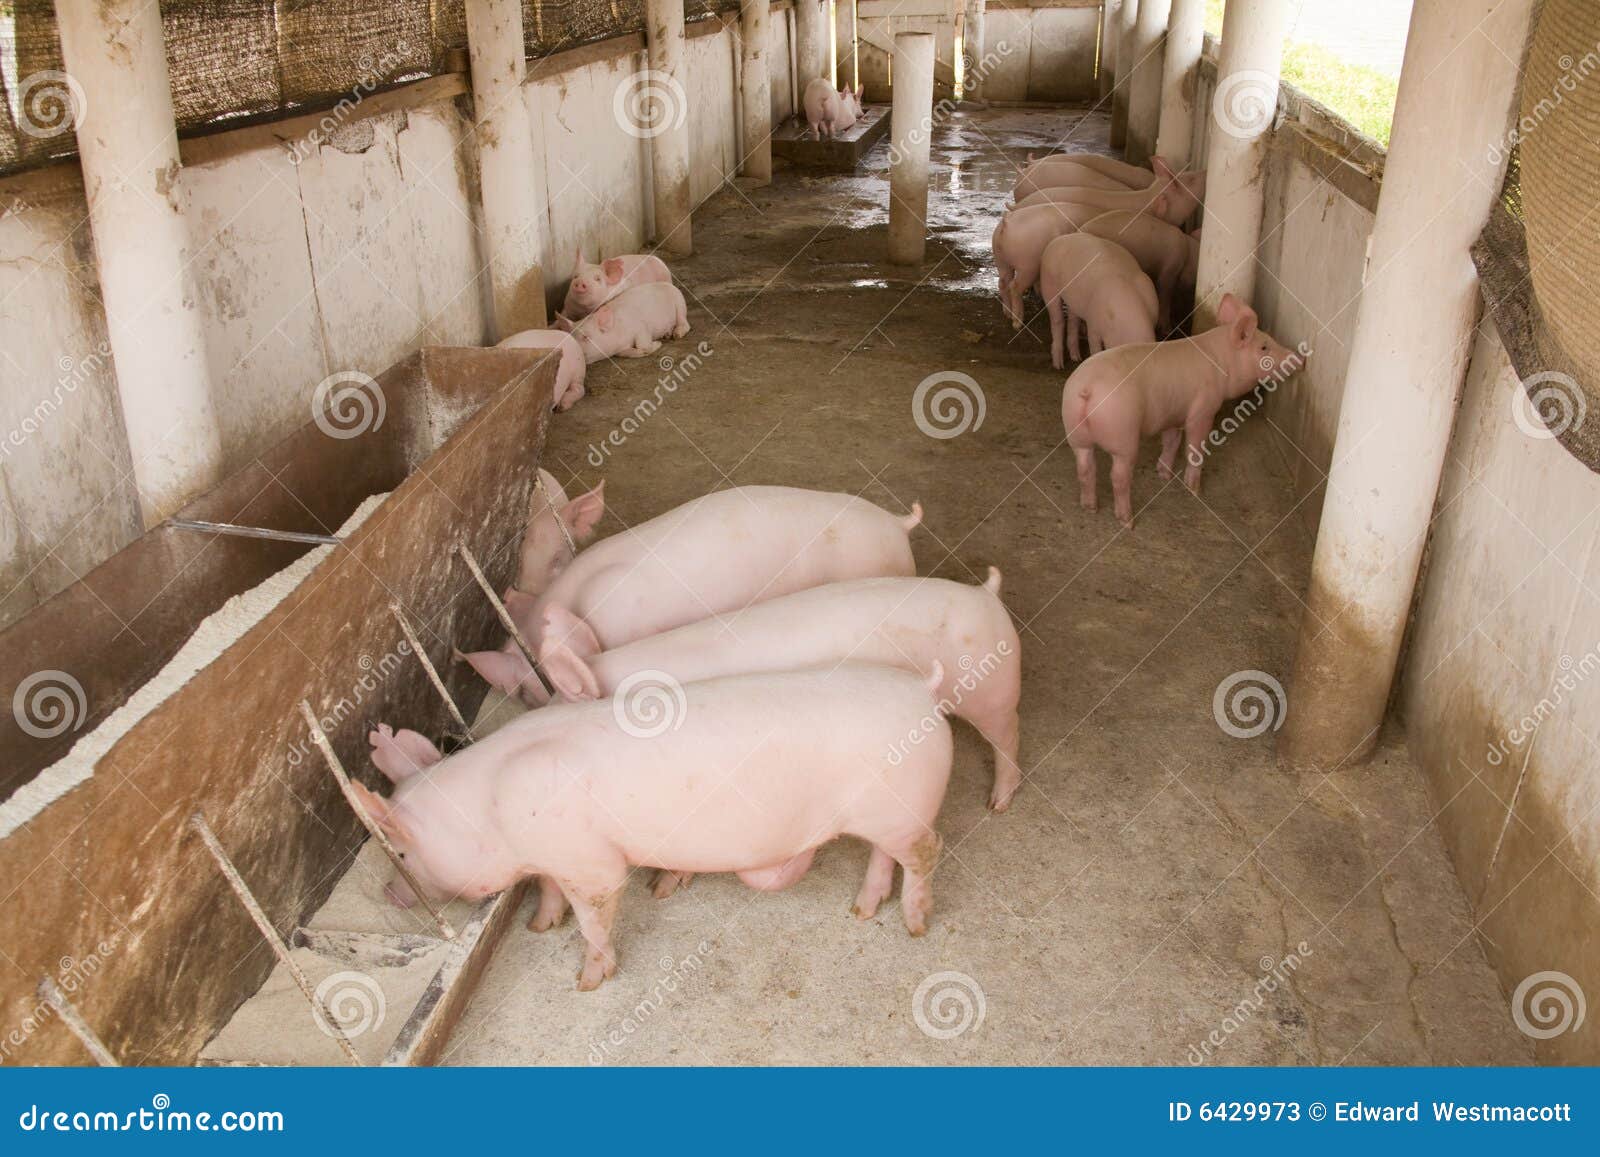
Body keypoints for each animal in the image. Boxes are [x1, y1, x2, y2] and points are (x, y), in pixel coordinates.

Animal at [355, 663, 954, 989]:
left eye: (400, 854)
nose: (385, 892)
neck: (490, 813)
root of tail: (924, 689)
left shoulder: (592, 864)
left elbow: (596, 915)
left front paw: (588, 982)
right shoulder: (553, 858)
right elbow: (547, 890)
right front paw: (539, 926)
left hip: (905, 813)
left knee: (928, 851)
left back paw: (915, 925)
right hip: (887, 813)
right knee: (885, 856)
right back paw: (862, 910)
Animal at [557, 282, 689, 364]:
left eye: (586, 337)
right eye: (571, 337)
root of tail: (668, 284)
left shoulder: (640, 327)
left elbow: (644, 346)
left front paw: (658, 343)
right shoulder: (619, 350)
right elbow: (625, 353)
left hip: (680, 303)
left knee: (685, 324)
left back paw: (675, 335)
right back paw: (667, 334)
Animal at [1039, 232, 1159, 369]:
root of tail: (1058, 239)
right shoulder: (1093, 325)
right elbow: (1094, 346)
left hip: (1074, 301)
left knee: (1073, 321)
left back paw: (1076, 358)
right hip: (1048, 284)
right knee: (1057, 321)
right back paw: (1059, 365)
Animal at [1062, 292, 1305, 527]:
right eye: (1264, 347)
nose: (1300, 359)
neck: (1221, 363)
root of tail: (1087, 389)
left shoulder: (1173, 414)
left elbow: (1172, 441)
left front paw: (1164, 475)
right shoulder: (1203, 408)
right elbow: (1195, 446)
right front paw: (1195, 490)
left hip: (1074, 429)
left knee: (1085, 466)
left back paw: (1090, 507)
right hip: (1123, 434)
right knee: (1118, 476)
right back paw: (1127, 521)